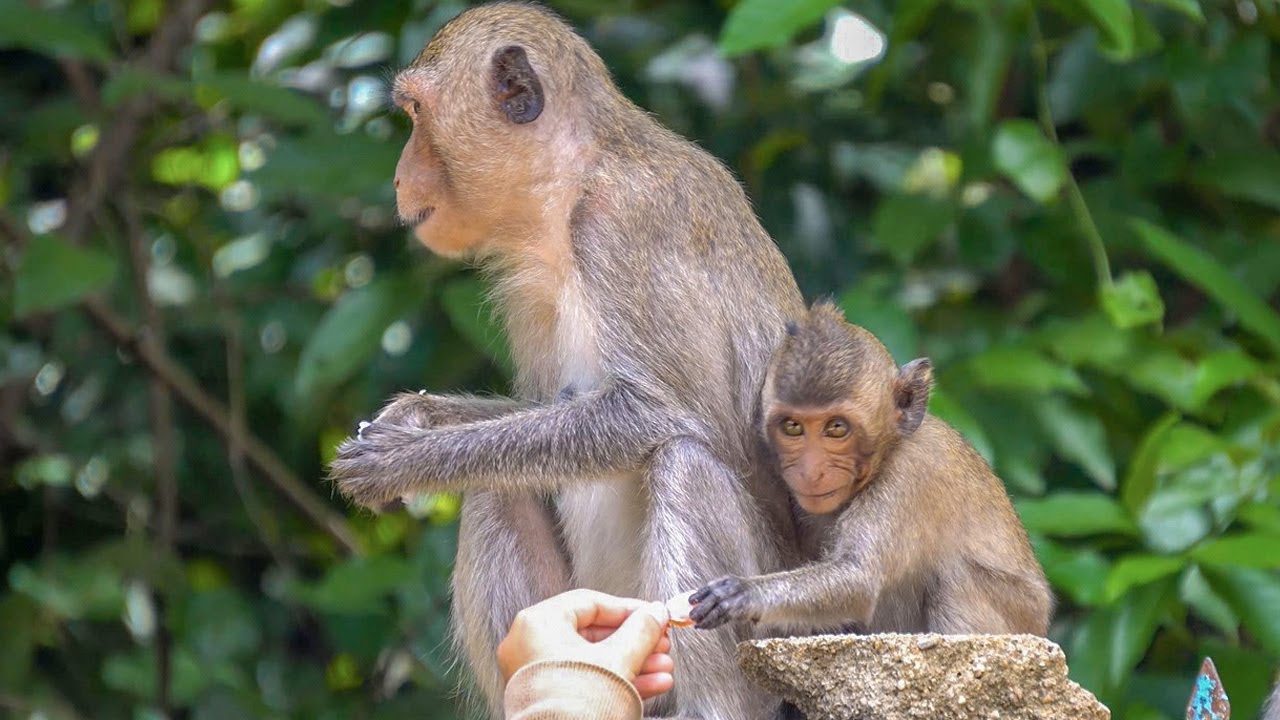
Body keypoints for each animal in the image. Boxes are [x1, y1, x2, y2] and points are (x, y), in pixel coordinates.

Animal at [327, 3, 806, 718]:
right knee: (497, 489)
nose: (398, 177)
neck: (574, 184)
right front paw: (414, 417)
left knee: (684, 464)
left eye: (414, 113)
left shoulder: (629, 227)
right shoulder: (529, 283)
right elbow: (535, 413)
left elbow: (656, 414)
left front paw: (405, 457)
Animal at [688, 301, 1052, 637]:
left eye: (837, 428)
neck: (889, 450)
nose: (810, 470)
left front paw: (744, 592)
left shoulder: (909, 478)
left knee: (957, 577)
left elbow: (859, 579)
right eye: (793, 427)